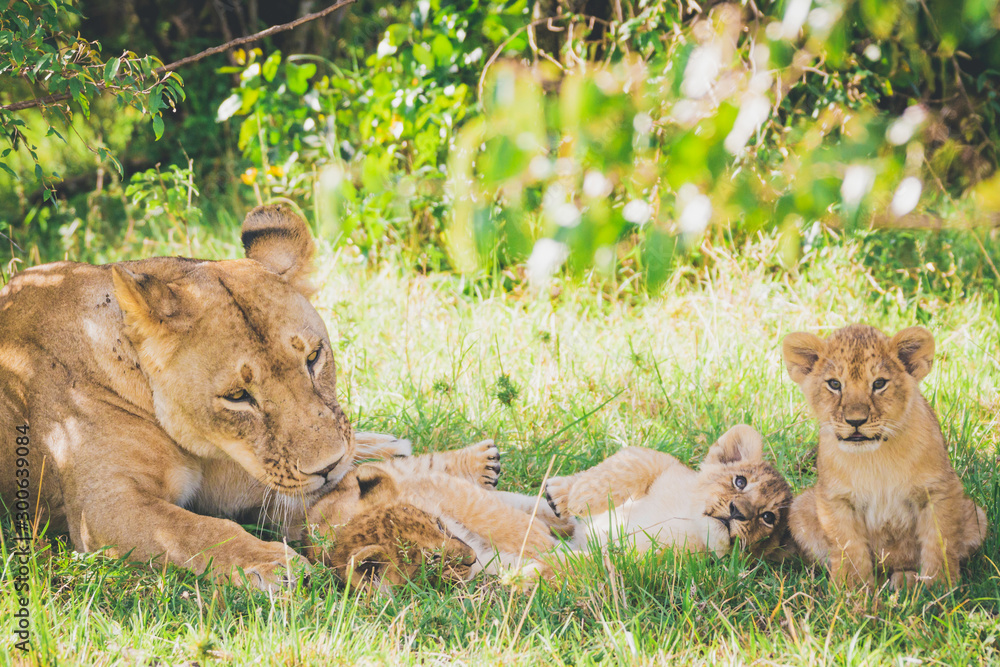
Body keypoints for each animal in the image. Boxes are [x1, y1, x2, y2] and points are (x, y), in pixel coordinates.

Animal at [0, 204, 407, 591]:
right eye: (238, 396)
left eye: (313, 357)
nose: (328, 467)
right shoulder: (101, 509)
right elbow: (193, 530)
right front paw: (273, 564)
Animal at [782, 324, 987, 590]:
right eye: (834, 384)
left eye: (879, 383)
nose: (855, 421)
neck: (875, 457)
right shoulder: (835, 499)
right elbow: (849, 548)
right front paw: (853, 592)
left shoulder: (939, 490)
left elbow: (939, 542)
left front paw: (939, 588)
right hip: (799, 509)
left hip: (977, 516)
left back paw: (906, 581)